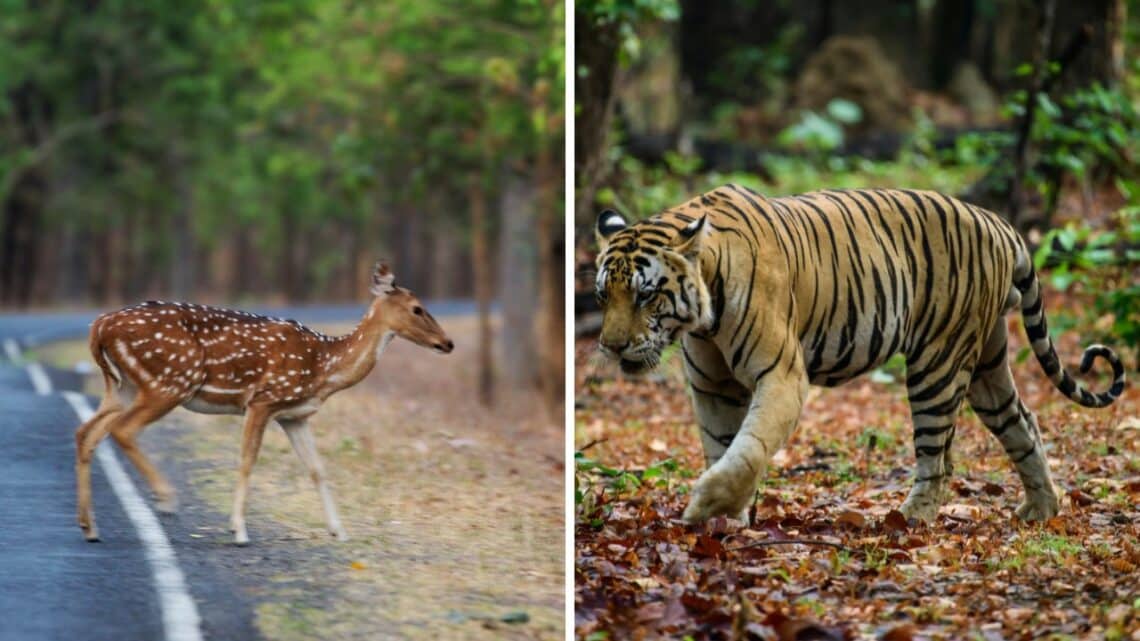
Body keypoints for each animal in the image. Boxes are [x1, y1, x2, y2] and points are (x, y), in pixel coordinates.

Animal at [593, 184, 1125, 524]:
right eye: (603, 295)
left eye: (645, 295)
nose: (611, 347)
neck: (702, 315)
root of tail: (997, 222)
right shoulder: (713, 385)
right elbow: (722, 445)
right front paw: (726, 518)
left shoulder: (782, 375)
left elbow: (750, 446)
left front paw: (707, 505)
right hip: (986, 364)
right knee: (1023, 423)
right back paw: (1042, 509)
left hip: (938, 361)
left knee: (938, 457)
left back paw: (910, 519)